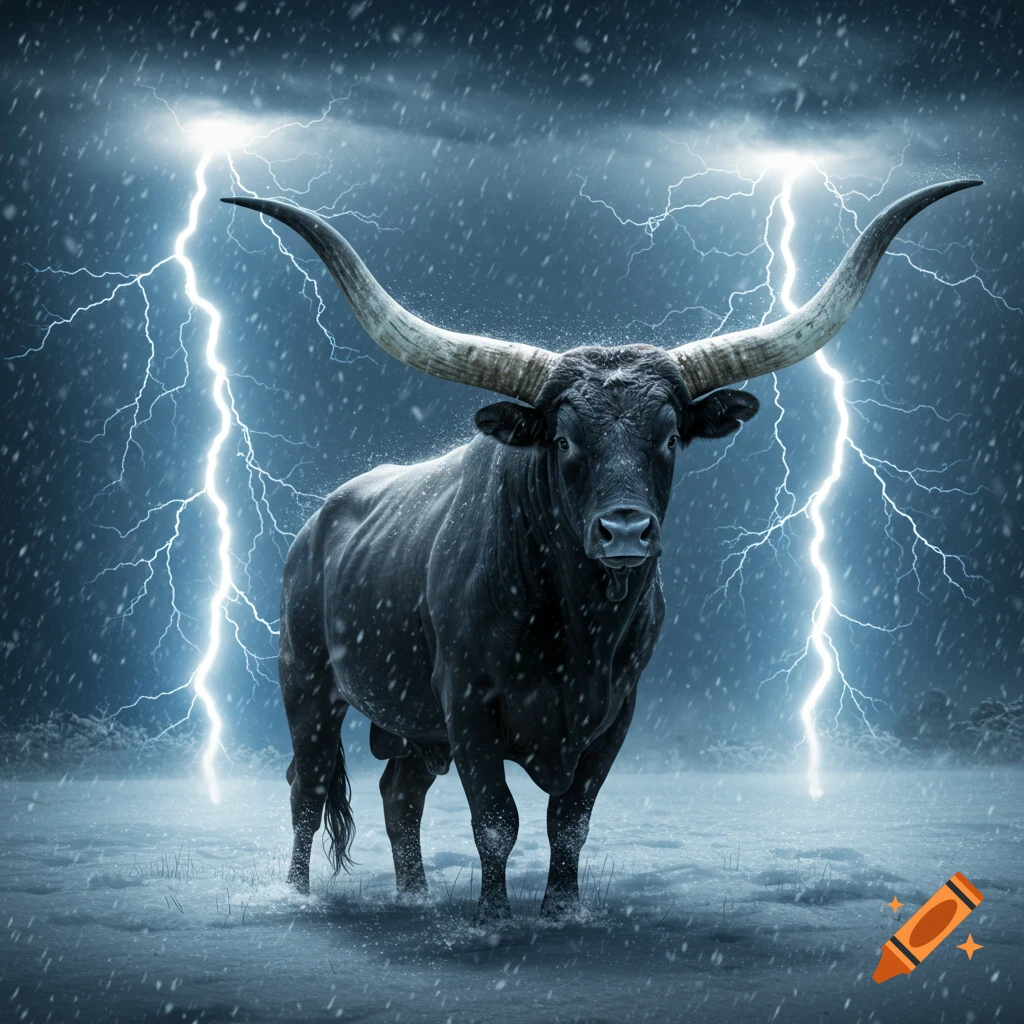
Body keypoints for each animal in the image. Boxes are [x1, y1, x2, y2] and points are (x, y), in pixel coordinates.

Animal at [222, 178, 978, 920]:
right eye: (564, 439)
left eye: (670, 437)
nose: (625, 532)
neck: (578, 627)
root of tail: (316, 524)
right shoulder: (468, 705)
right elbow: (495, 818)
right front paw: (493, 918)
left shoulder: (616, 712)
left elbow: (571, 821)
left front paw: (562, 909)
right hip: (308, 684)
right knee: (308, 786)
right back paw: (298, 893)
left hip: (416, 728)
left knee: (399, 791)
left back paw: (415, 894)